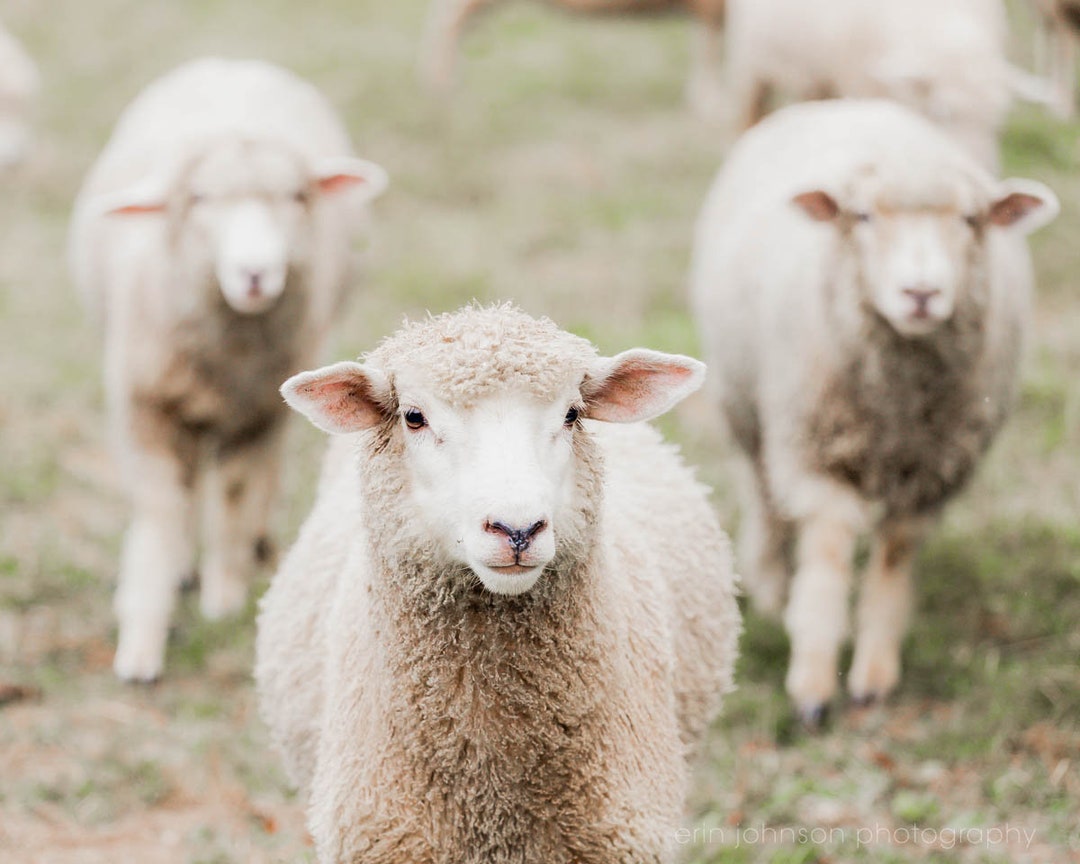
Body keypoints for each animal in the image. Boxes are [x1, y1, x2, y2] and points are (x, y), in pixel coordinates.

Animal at [69, 57, 389, 683]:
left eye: (296, 195)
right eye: (196, 199)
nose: (255, 273)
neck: (227, 353)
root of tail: (232, 61)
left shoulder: (258, 413)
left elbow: (238, 493)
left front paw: (224, 594)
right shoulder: (146, 411)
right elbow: (160, 514)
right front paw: (141, 641)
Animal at [689, 99, 1058, 725]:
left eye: (970, 220)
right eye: (861, 216)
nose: (921, 293)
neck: (898, 408)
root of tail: (850, 101)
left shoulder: (934, 472)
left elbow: (894, 558)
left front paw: (874, 675)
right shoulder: (815, 453)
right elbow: (829, 552)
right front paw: (813, 682)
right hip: (746, 405)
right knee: (764, 495)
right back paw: (770, 588)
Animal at [723, 0, 1017, 169]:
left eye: (998, 124)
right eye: (941, 113)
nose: (981, 171)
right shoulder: (860, 83)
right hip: (750, 64)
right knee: (747, 117)